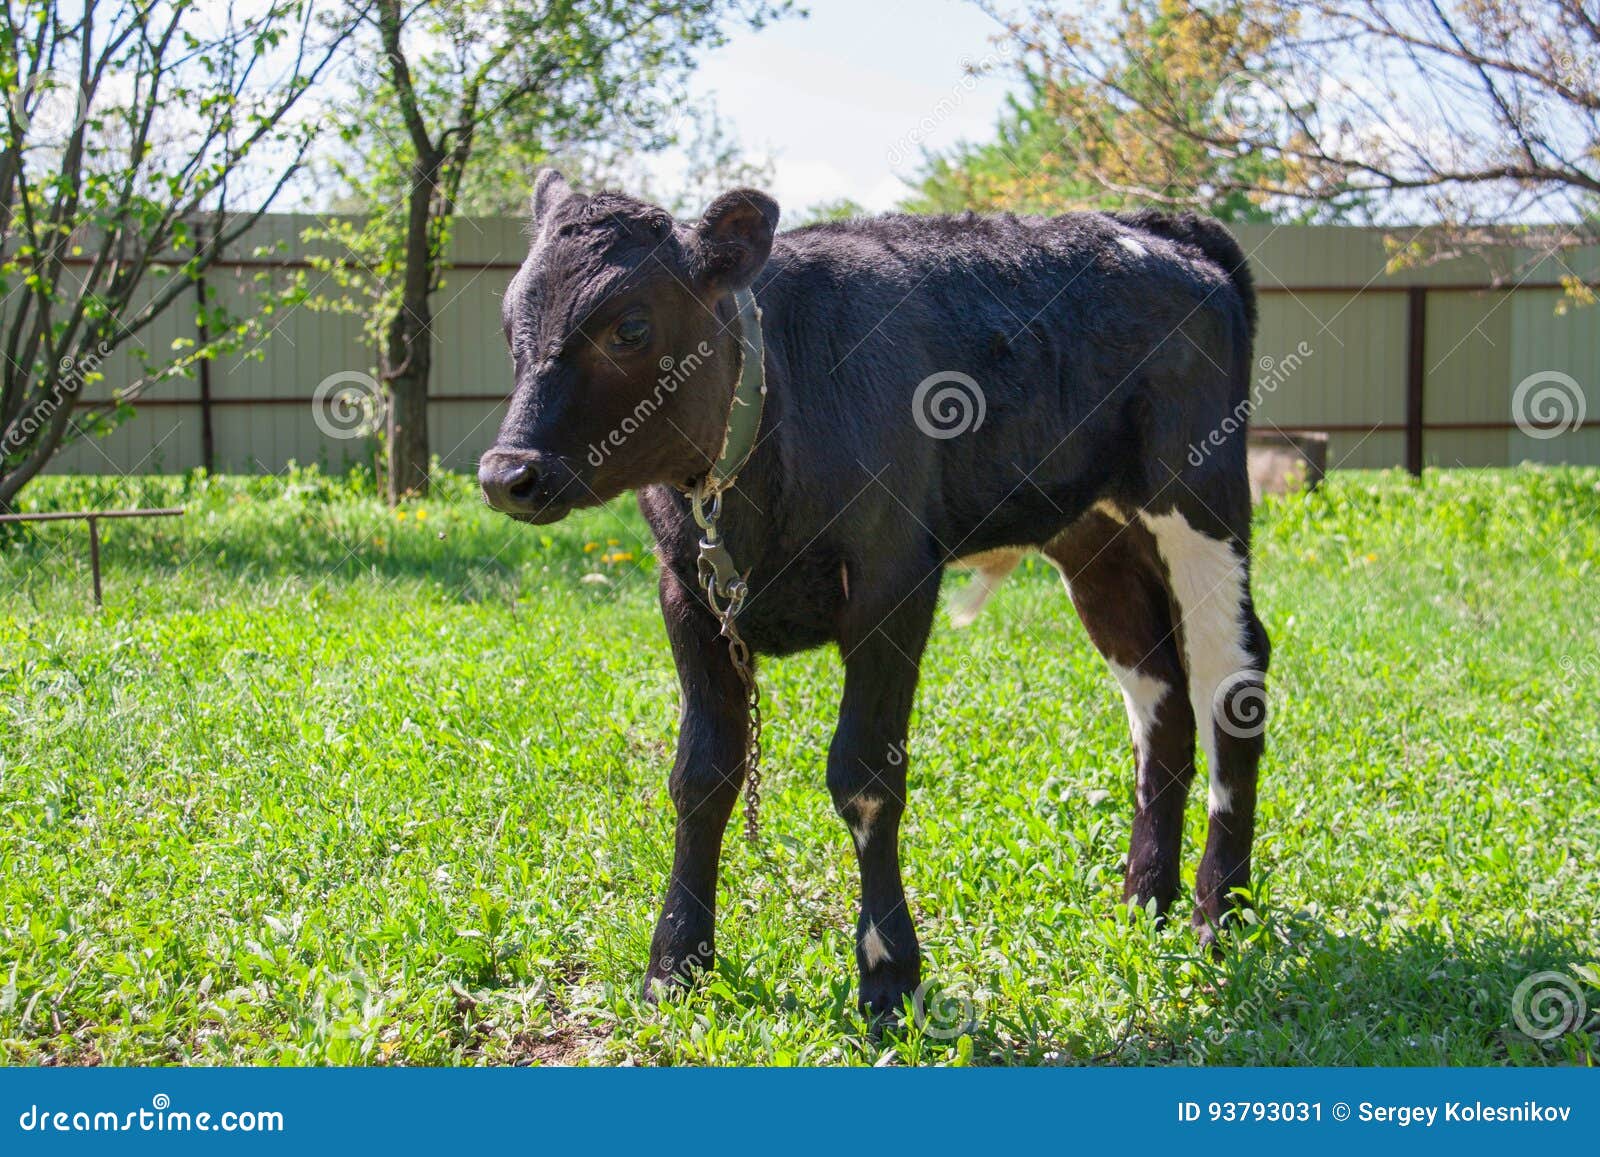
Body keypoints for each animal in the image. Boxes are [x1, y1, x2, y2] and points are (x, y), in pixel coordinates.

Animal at [479, 169, 1270, 1019]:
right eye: (509, 321)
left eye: (631, 325)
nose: (507, 474)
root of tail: (1154, 227)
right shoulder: (685, 594)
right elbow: (701, 773)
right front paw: (676, 963)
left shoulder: (894, 579)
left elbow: (863, 775)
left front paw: (890, 975)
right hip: (1094, 535)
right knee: (1158, 694)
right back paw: (1143, 898)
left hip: (1200, 498)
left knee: (1232, 677)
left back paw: (1218, 913)